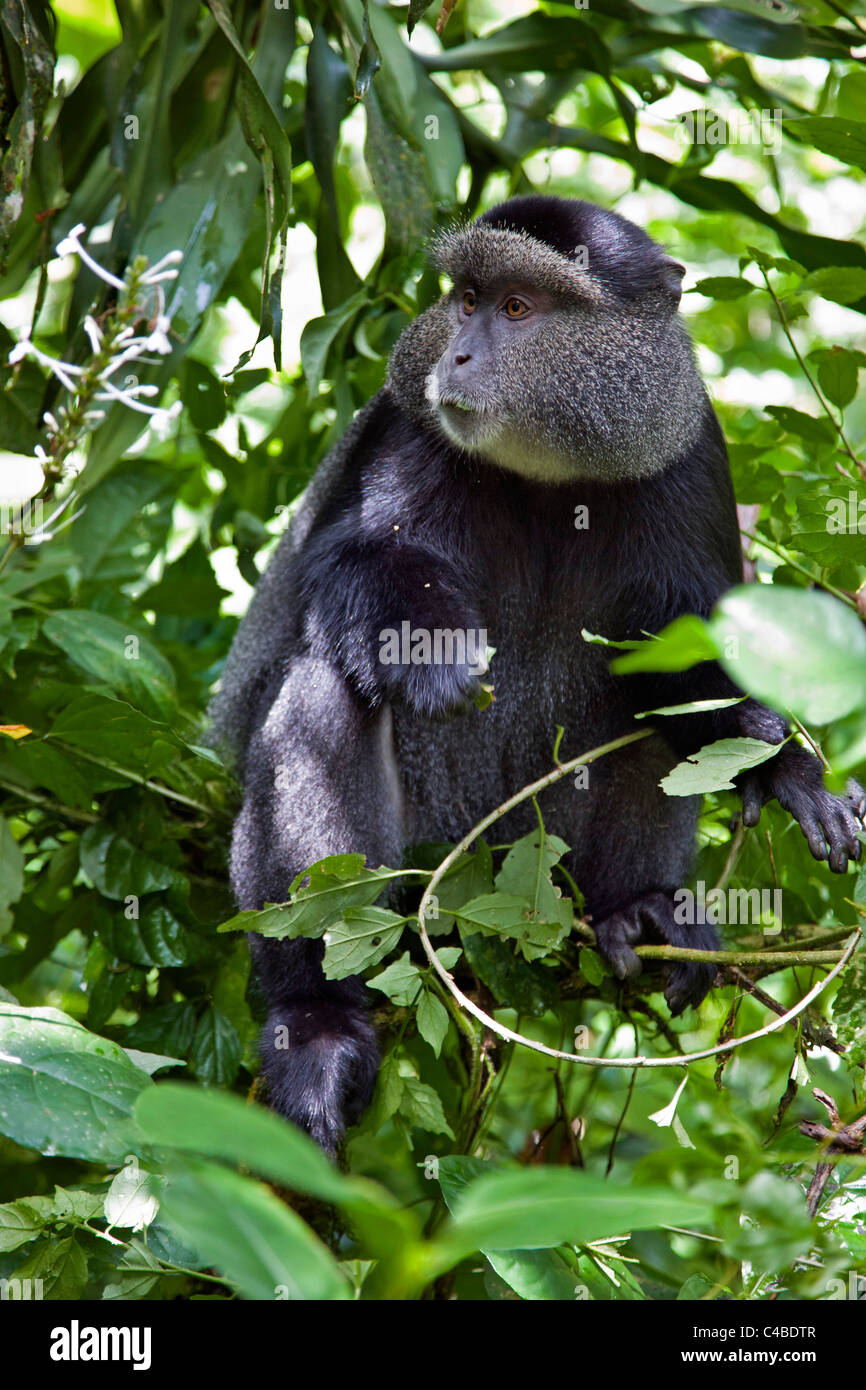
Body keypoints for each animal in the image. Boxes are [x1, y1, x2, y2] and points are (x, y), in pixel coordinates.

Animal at [209, 195, 865, 1154]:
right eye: (468, 298)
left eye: (518, 307)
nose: (457, 354)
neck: (549, 474)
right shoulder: (406, 430)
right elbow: (345, 566)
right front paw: (433, 647)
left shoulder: (689, 456)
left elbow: (679, 659)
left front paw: (783, 765)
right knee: (328, 694)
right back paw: (317, 1024)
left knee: (644, 723)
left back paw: (636, 913)